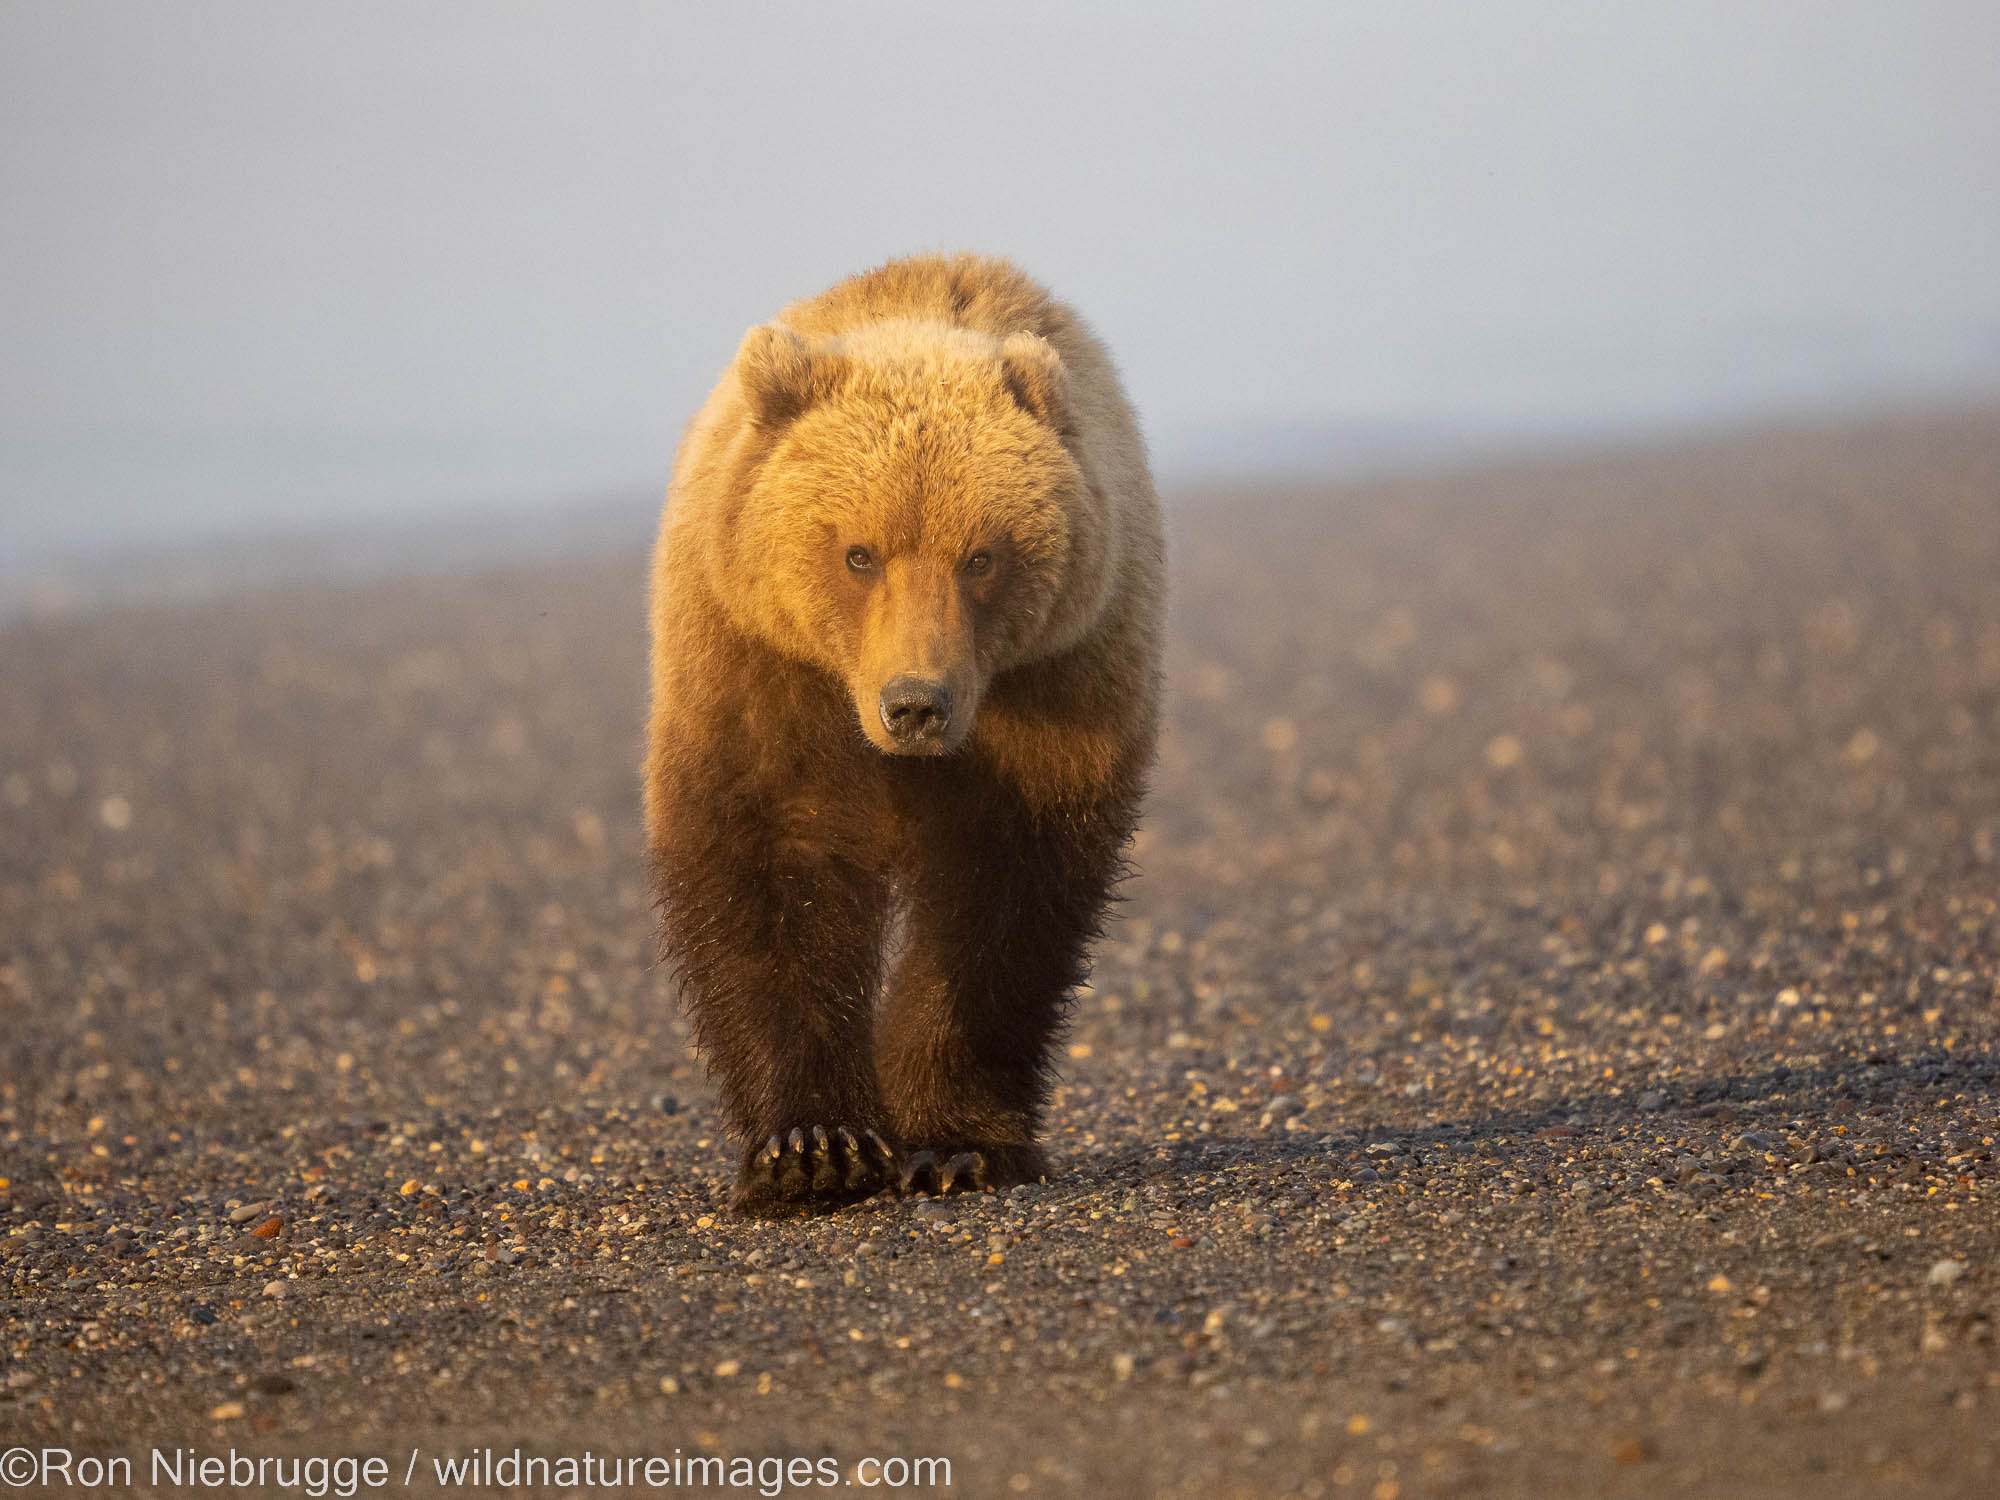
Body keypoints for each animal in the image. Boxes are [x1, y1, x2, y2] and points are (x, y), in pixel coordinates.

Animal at [644, 252, 1163, 1213]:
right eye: (859, 553)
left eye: (981, 556)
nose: (915, 703)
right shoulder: (761, 666)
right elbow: (772, 858)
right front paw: (814, 1147)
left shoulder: (1053, 682)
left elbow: (1003, 896)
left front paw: (956, 1146)